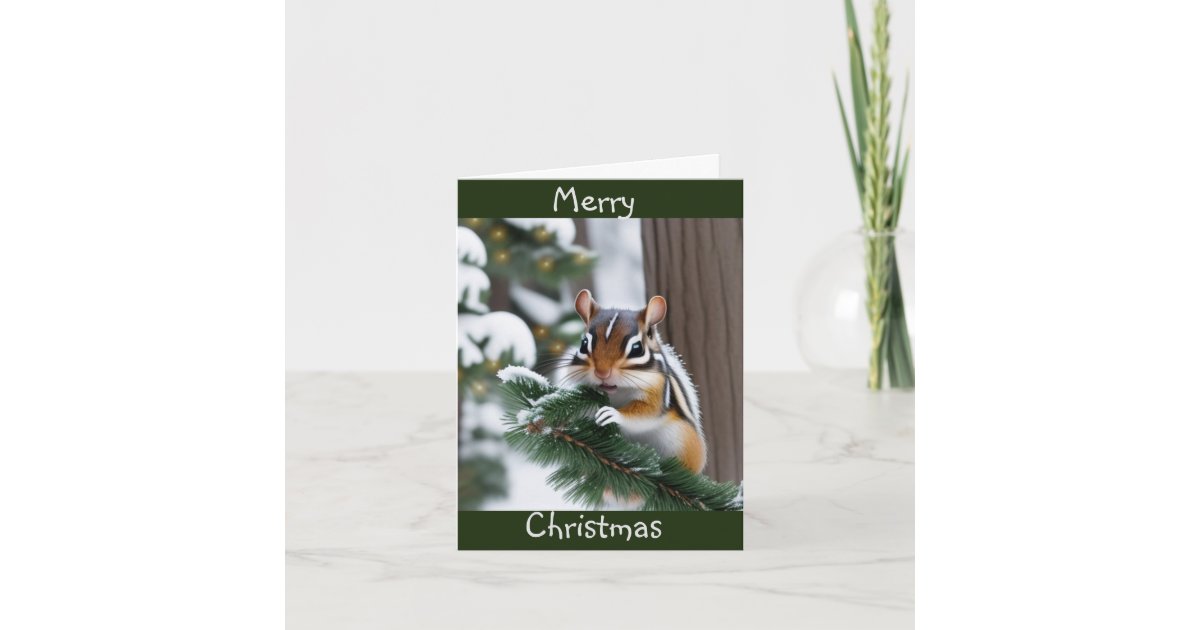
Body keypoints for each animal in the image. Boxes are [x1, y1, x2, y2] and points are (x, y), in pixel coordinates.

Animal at [553, 289, 707, 475]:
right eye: (583, 344)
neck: (617, 391)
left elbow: (646, 412)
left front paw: (612, 414)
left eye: (636, 348)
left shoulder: (658, 389)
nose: (602, 372)